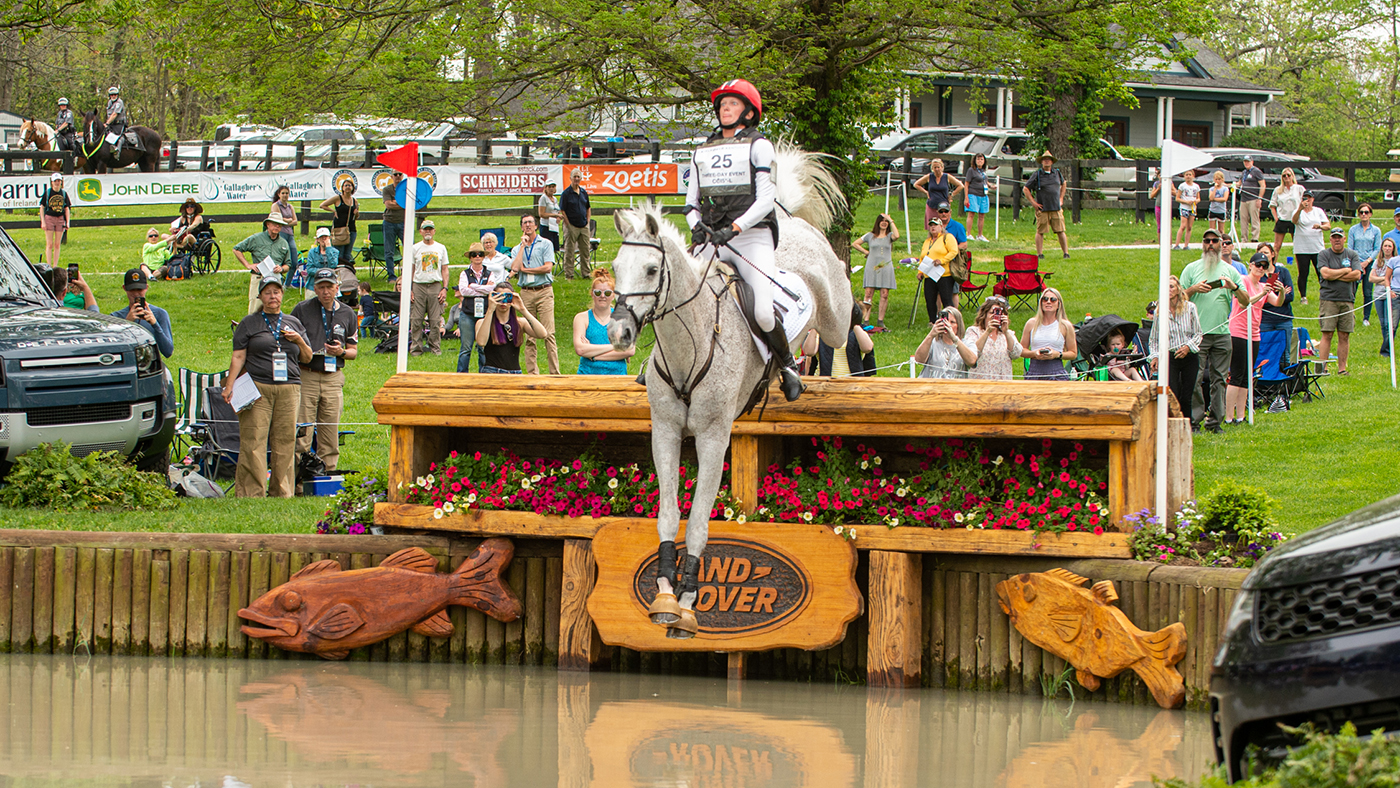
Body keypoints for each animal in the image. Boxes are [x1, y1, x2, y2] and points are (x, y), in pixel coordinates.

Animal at [607, 143, 853, 639]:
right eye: (615, 269)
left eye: (651, 269)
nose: (619, 333)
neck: (690, 343)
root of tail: (792, 223)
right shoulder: (664, 432)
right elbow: (668, 513)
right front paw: (665, 595)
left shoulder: (713, 437)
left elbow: (700, 520)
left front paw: (686, 604)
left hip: (835, 313)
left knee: (843, 318)